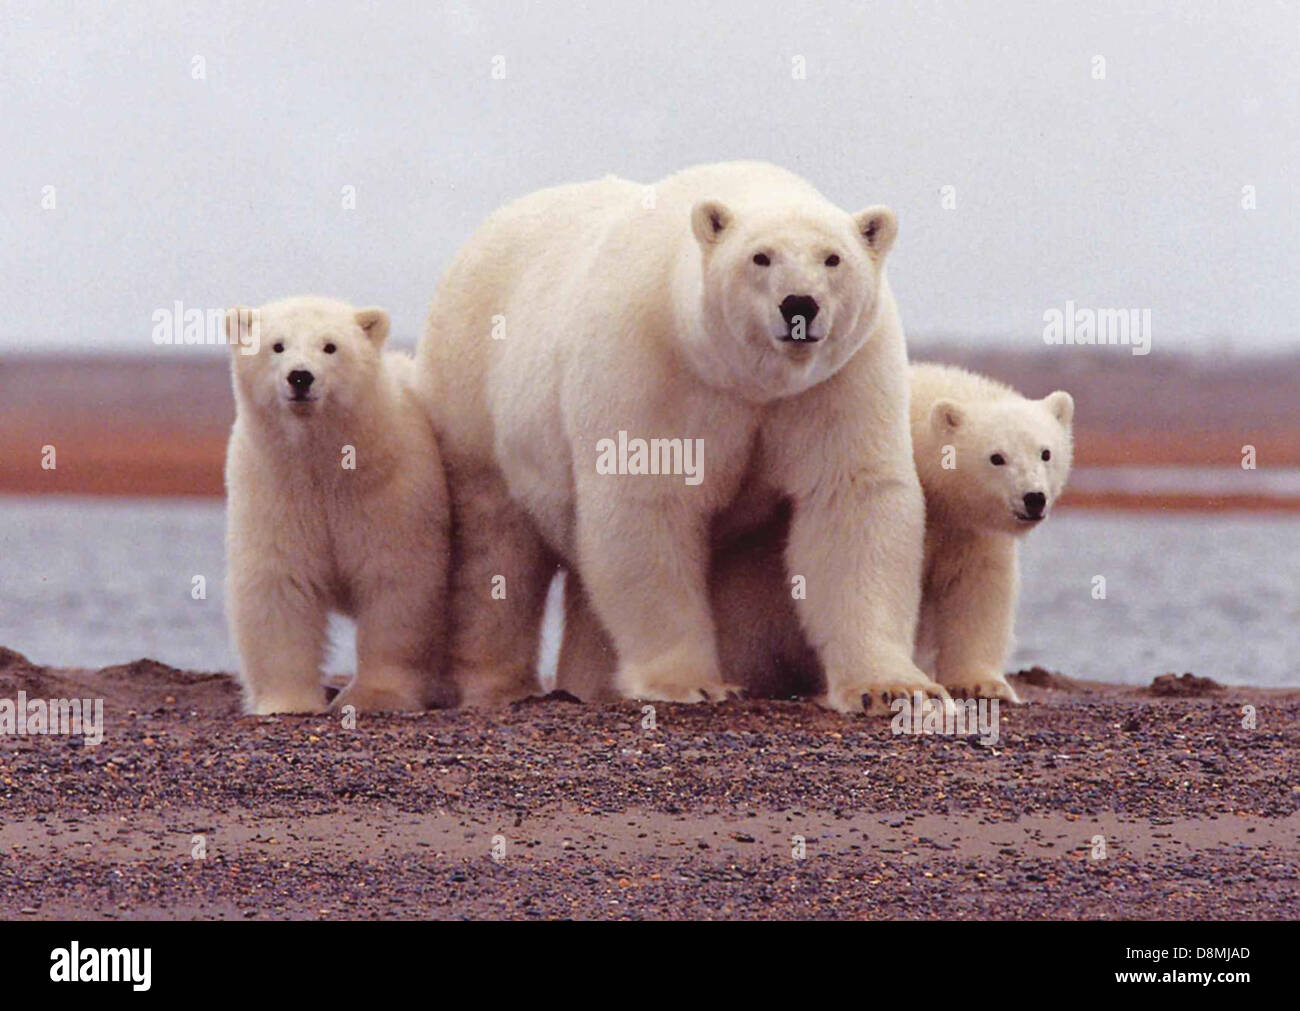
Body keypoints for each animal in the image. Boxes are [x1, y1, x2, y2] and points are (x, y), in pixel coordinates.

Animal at [224, 297, 451, 715]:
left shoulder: (390, 489)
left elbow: (396, 583)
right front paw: (288, 701)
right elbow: (279, 582)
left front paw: (374, 696)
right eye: (277, 345)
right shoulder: (275, 488)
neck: (325, 465)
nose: (300, 377)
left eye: (330, 346)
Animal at [415, 161, 948, 714]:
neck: (746, 379)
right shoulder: (653, 362)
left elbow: (851, 497)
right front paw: (690, 682)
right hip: (474, 394)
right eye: (760, 257)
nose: (799, 305)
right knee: (495, 548)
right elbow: (648, 502)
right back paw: (499, 684)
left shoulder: (839, 378)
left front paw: (891, 688)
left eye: (833, 258)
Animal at [556, 362, 1074, 705]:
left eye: (1046, 452)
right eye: (996, 457)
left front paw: (983, 683)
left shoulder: (967, 528)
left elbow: (977, 589)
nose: (1033, 498)